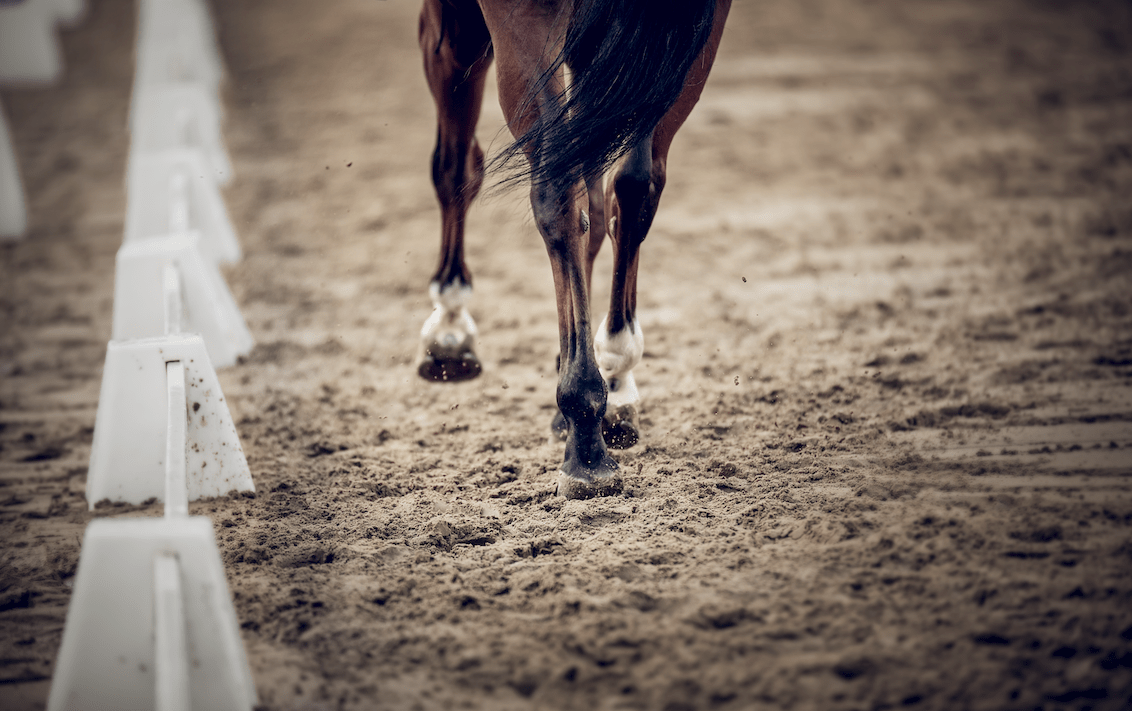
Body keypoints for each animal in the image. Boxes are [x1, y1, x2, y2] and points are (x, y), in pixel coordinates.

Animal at [415, 0, 732, 498]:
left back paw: (585, 437)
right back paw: (611, 382)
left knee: (557, 187)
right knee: (632, 187)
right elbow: (602, 206)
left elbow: (454, 168)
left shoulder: (448, 23)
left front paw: (449, 326)